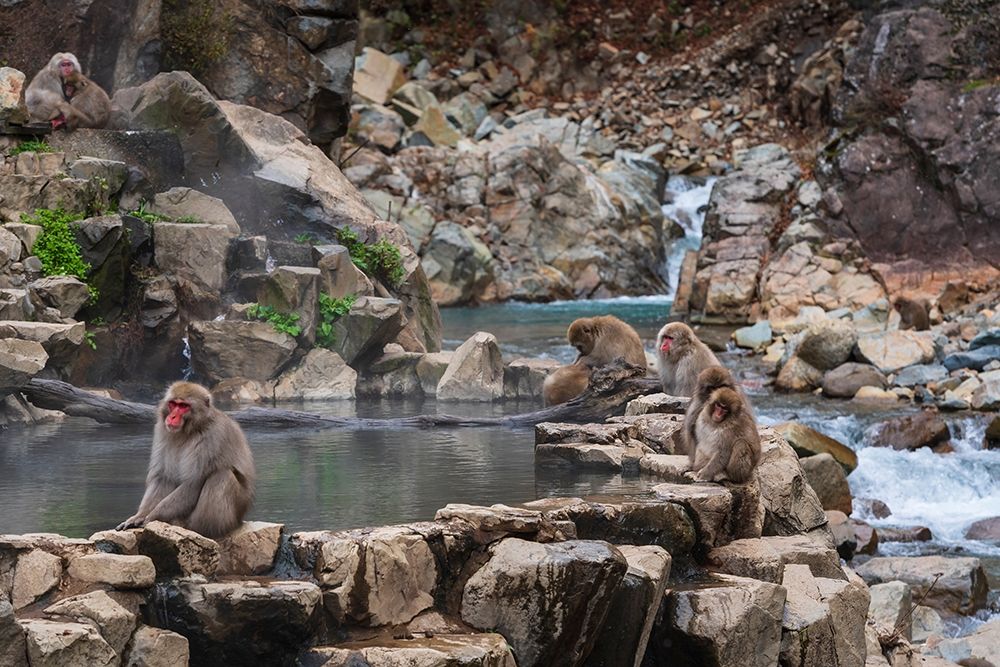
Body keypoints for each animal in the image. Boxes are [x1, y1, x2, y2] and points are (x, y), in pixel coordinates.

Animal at [116, 381, 256, 539]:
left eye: (183, 406)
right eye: (173, 404)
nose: (172, 417)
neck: (189, 430)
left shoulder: (212, 437)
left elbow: (193, 482)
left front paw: (151, 518)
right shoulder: (163, 431)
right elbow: (164, 477)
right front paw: (140, 516)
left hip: (235, 511)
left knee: (222, 475)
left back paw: (200, 530)